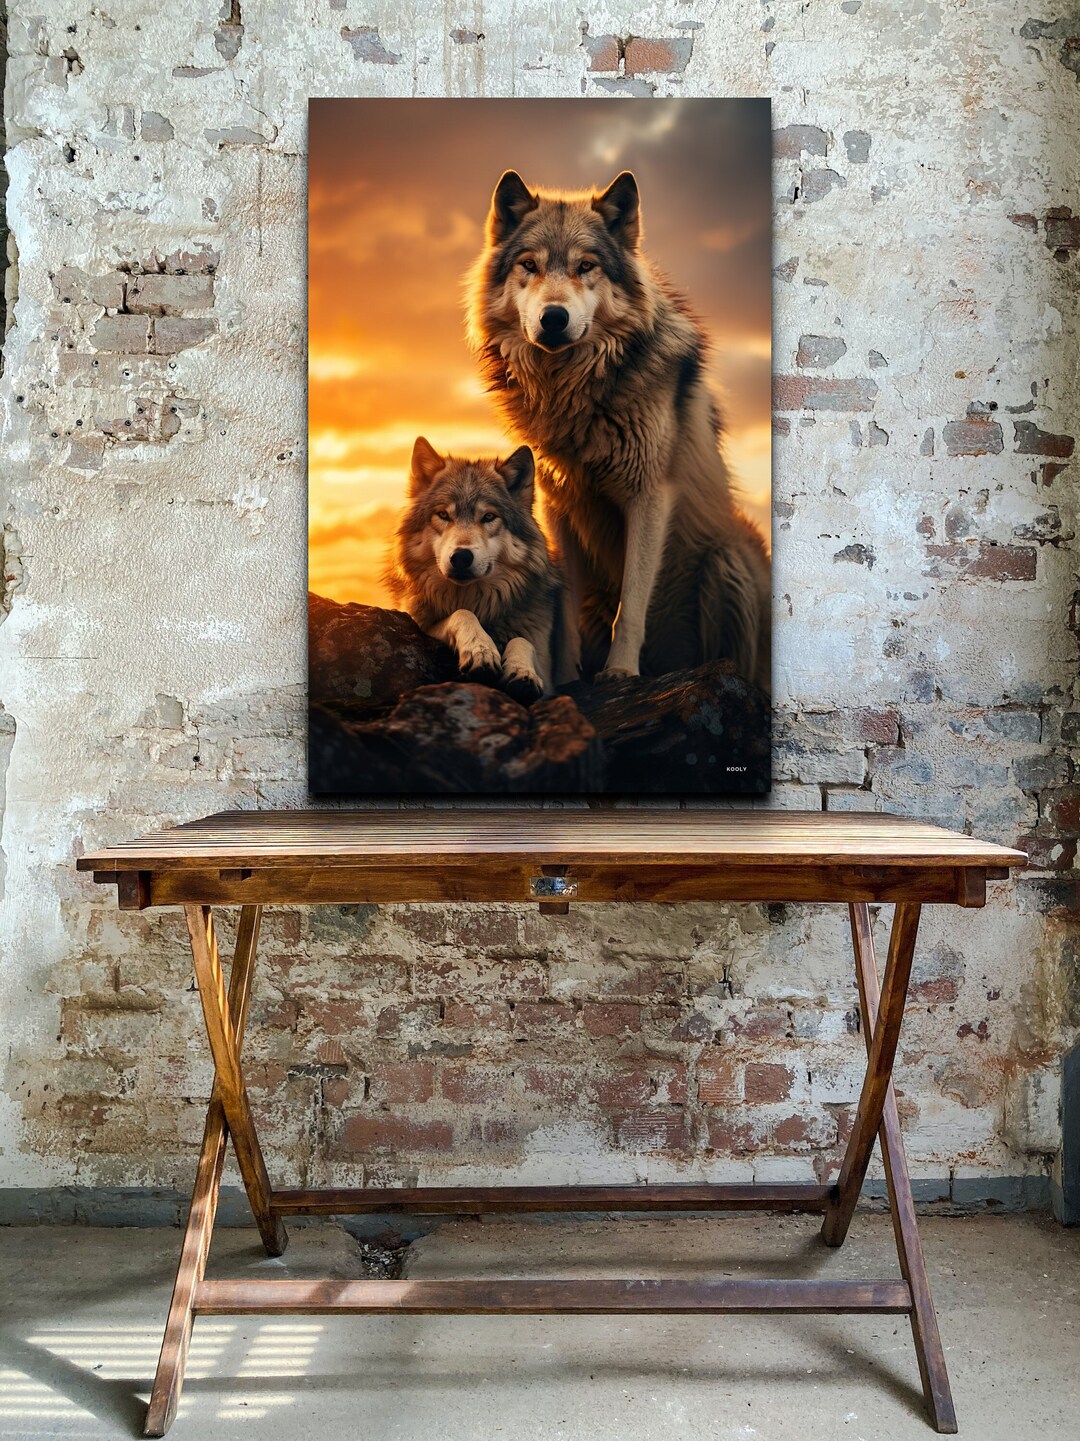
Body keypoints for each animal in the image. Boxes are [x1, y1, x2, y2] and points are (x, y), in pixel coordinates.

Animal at [383, 437, 559, 704]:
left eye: (488, 517)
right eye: (443, 515)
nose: (461, 557)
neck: (476, 601)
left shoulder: (549, 679)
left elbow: (521, 639)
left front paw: (522, 672)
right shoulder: (420, 626)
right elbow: (462, 614)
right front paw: (480, 650)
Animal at [465, 169, 771, 693]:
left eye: (586, 266)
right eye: (529, 265)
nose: (553, 318)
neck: (573, 392)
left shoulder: (648, 495)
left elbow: (631, 603)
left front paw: (621, 672)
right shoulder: (558, 504)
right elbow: (563, 613)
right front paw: (566, 678)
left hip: (727, 559)